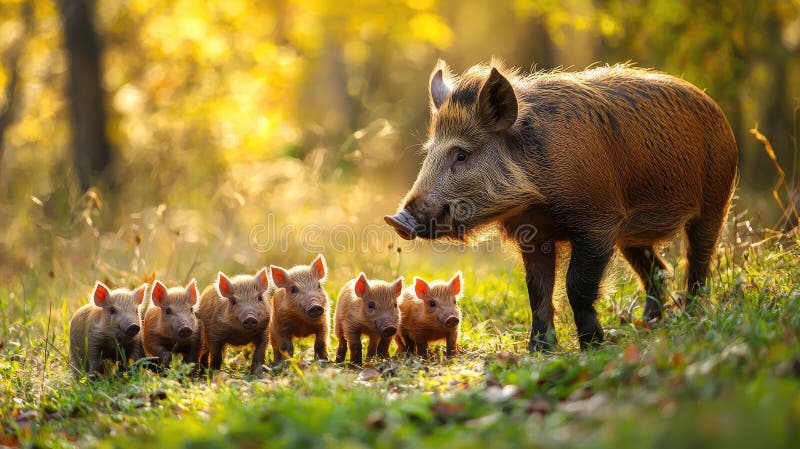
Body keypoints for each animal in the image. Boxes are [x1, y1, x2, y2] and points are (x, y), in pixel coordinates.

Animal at [385, 61, 737, 351]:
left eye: (461, 154)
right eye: (429, 152)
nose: (397, 219)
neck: (535, 199)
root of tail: (717, 109)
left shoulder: (598, 222)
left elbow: (576, 286)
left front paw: (592, 345)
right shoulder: (535, 236)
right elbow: (537, 290)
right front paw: (539, 349)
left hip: (715, 200)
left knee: (698, 261)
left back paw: (692, 316)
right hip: (631, 234)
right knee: (658, 270)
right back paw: (649, 322)